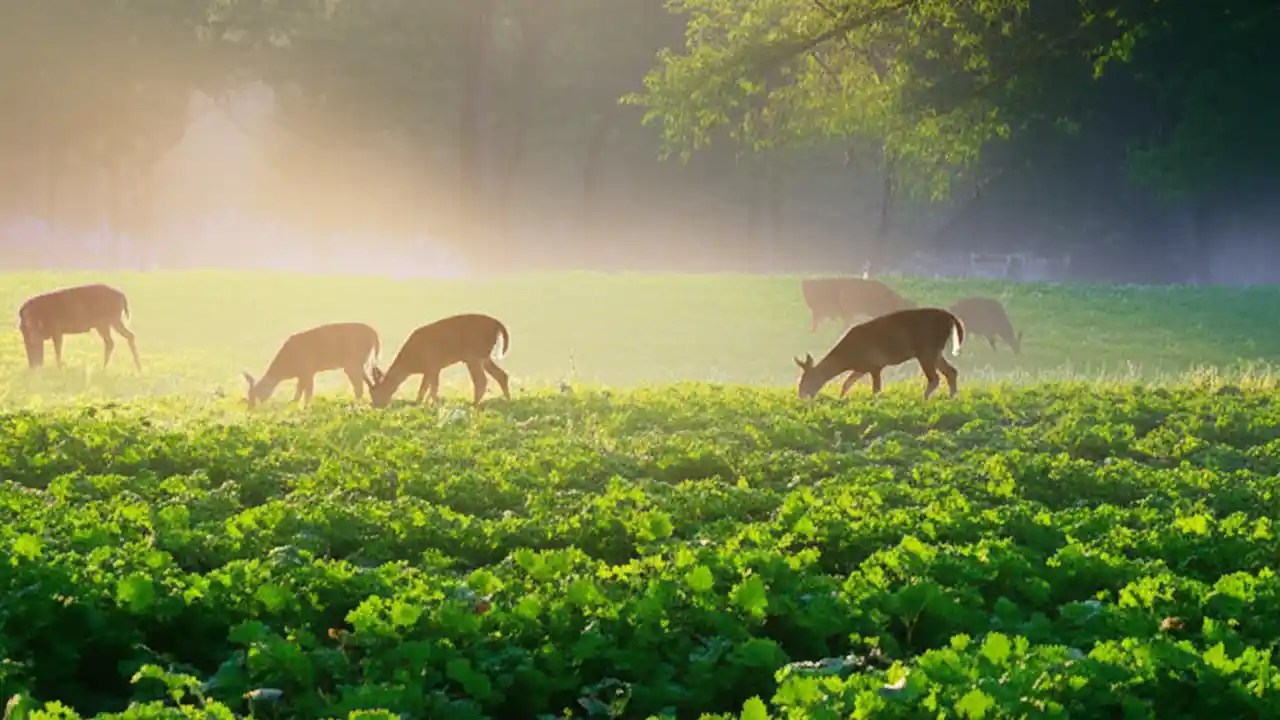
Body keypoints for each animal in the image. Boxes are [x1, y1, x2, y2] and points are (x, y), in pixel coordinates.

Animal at [243, 322, 380, 409]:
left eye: (256, 394)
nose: (250, 408)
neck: (286, 366)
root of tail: (373, 332)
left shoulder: (307, 369)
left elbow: (308, 393)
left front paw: (305, 408)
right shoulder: (302, 374)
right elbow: (299, 392)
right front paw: (292, 405)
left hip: (353, 361)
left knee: (359, 386)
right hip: (358, 363)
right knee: (367, 382)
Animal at [368, 313, 511, 408]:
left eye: (375, 392)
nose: (375, 406)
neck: (411, 363)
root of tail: (497, 325)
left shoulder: (433, 365)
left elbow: (433, 389)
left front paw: (435, 405)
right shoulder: (428, 369)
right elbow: (423, 389)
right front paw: (417, 404)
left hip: (473, 354)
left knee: (481, 380)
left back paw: (474, 404)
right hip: (483, 355)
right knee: (501, 375)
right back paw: (508, 400)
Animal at [794, 307, 965, 400]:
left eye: (808, 380)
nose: (801, 395)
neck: (848, 357)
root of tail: (951, 317)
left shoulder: (875, 365)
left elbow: (875, 390)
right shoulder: (861, 367)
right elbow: (847, 383)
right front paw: (841, 400)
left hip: (927, 349)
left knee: (935, 378)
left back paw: (924, 400)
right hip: (935, 351)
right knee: (951, 371)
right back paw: (952, 398)